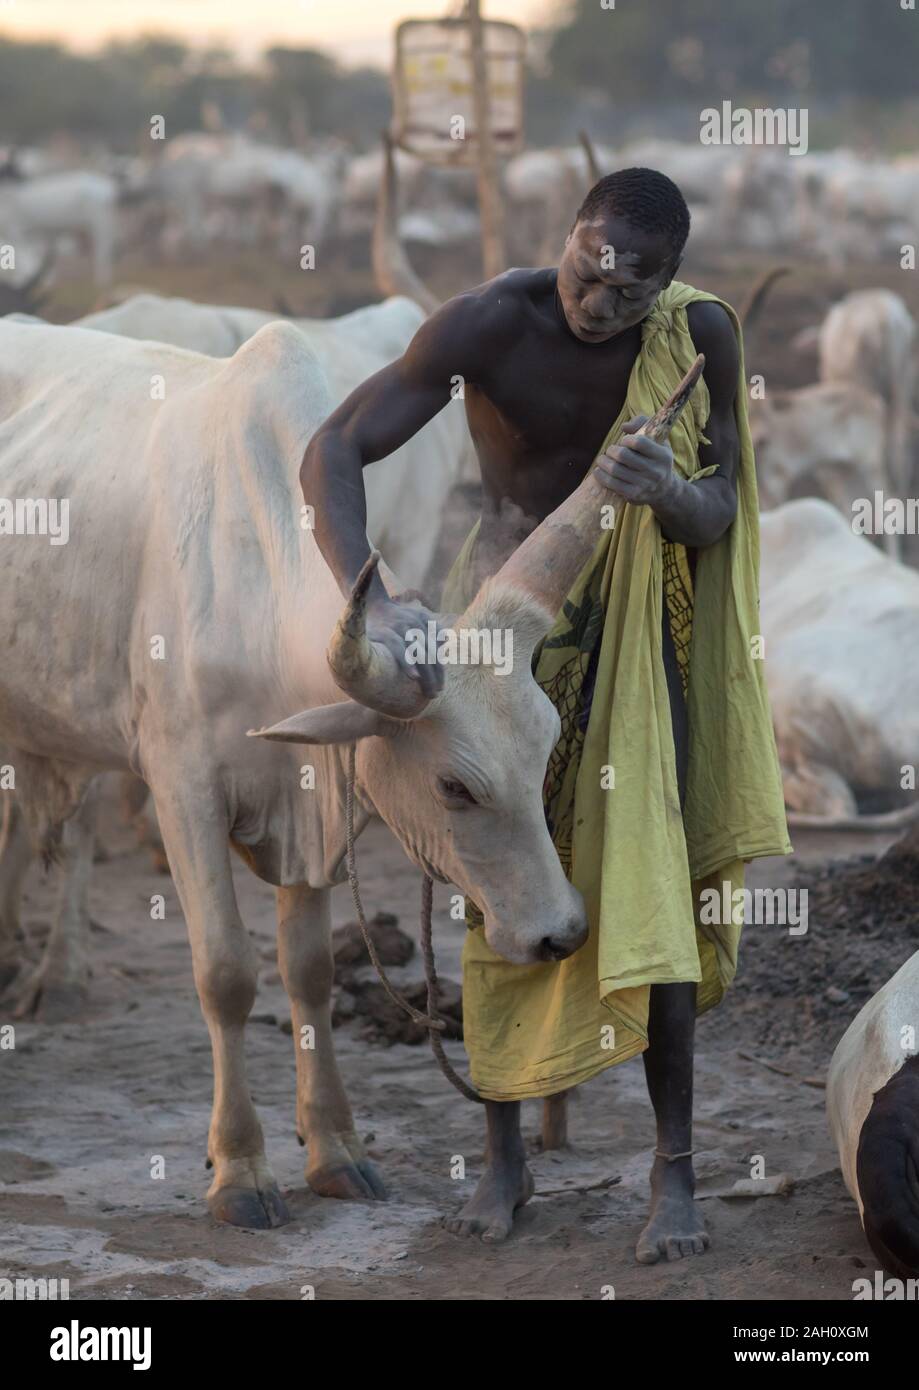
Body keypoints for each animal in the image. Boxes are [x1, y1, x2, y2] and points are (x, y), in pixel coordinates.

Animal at [0, 314, 601, 1224]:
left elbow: (308, 973)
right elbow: (225, 974)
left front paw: (335, 1149)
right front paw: (239, 1170)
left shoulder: (307, 805)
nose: (559, 933)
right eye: (453, 786)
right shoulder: (182, 791)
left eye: (544, 751)